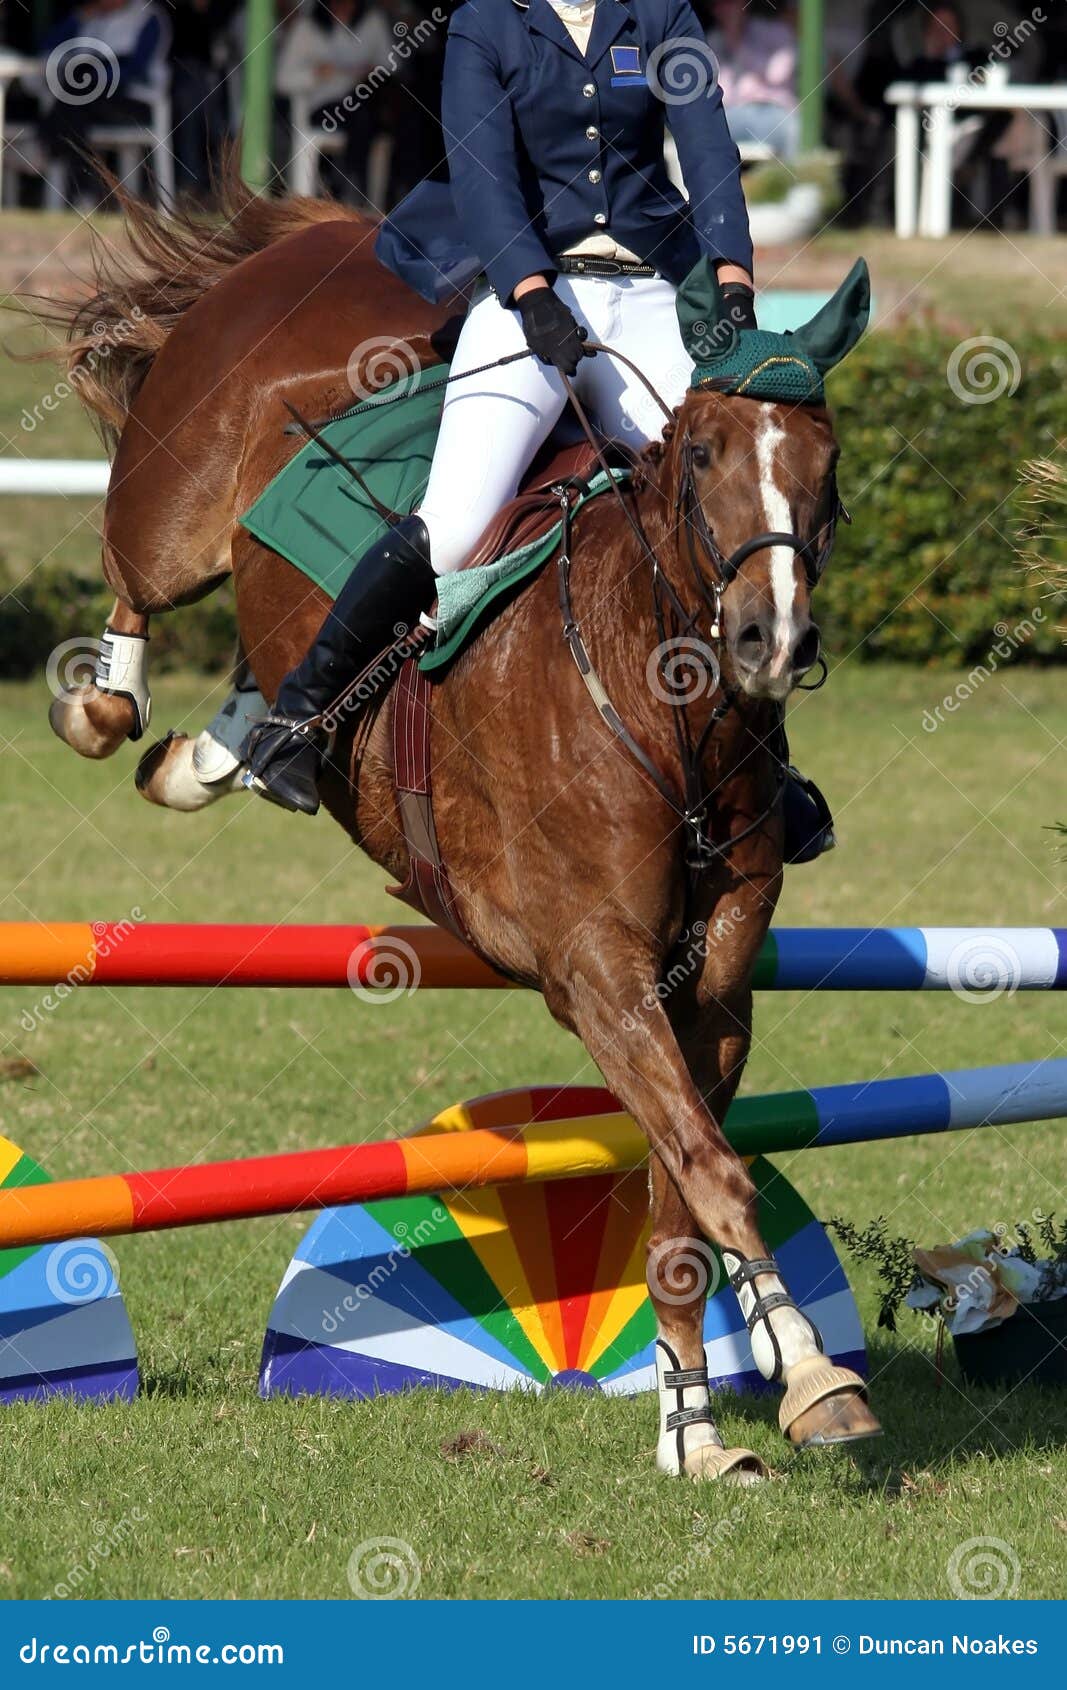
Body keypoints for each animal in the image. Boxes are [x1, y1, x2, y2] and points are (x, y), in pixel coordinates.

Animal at [37, 177, 880, 1479]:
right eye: (700, 452)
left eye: (826, 463)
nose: (766, 641)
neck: (659, 698)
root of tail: (328, 237)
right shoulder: (594, 969)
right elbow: (715, 1173)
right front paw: (810, 1383)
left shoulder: (711, 985)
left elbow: (681, 1197)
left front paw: (693, 1427)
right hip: (172, 512)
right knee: (137, 583)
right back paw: (118, 712)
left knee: (266, 665)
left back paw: (235, 749)